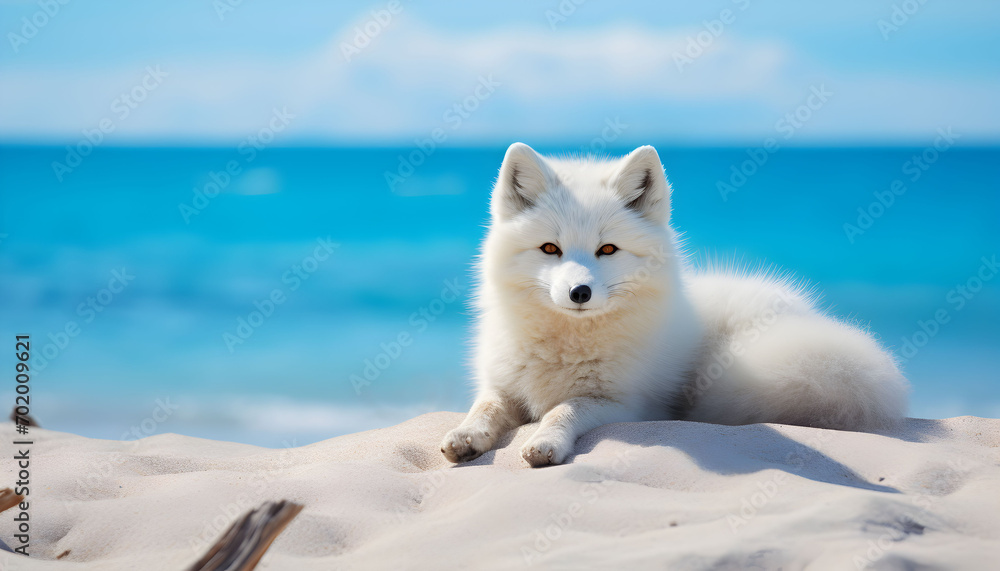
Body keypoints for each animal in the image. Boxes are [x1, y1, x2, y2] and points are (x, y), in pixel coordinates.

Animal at [441, 143, 909, 467]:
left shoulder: (627, 404)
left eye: (607, 249)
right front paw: (465, 436)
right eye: (550, 248)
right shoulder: (501, 385)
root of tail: (805, 313)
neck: (564, 347)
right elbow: (484, 408)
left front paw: (544, 440)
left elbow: (563, 410)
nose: (580, 293)